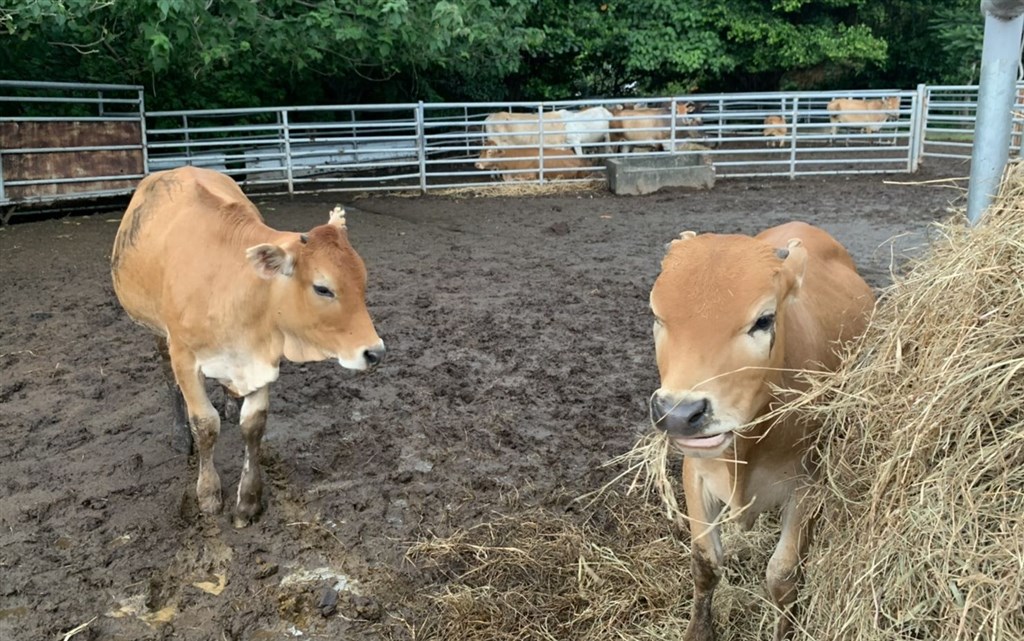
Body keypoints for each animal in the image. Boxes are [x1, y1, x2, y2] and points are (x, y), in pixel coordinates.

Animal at [111, 166, 385, 528]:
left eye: (363, 280)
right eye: (323, 288)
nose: (375, 352)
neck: (230, 284)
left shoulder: (261, 356)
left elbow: (253, 425)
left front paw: (248, 502)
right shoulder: (184, 355)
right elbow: (205, 425)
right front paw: (209, 495)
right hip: (156, 330)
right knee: (169, 380)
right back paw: (179, 432)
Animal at [647, 222, 874, 641]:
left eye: (765, 320)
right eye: (657, 316)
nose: (679, 413)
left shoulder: (809, 481)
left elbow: (783, 575)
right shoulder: (695, 469)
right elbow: (706, 562)